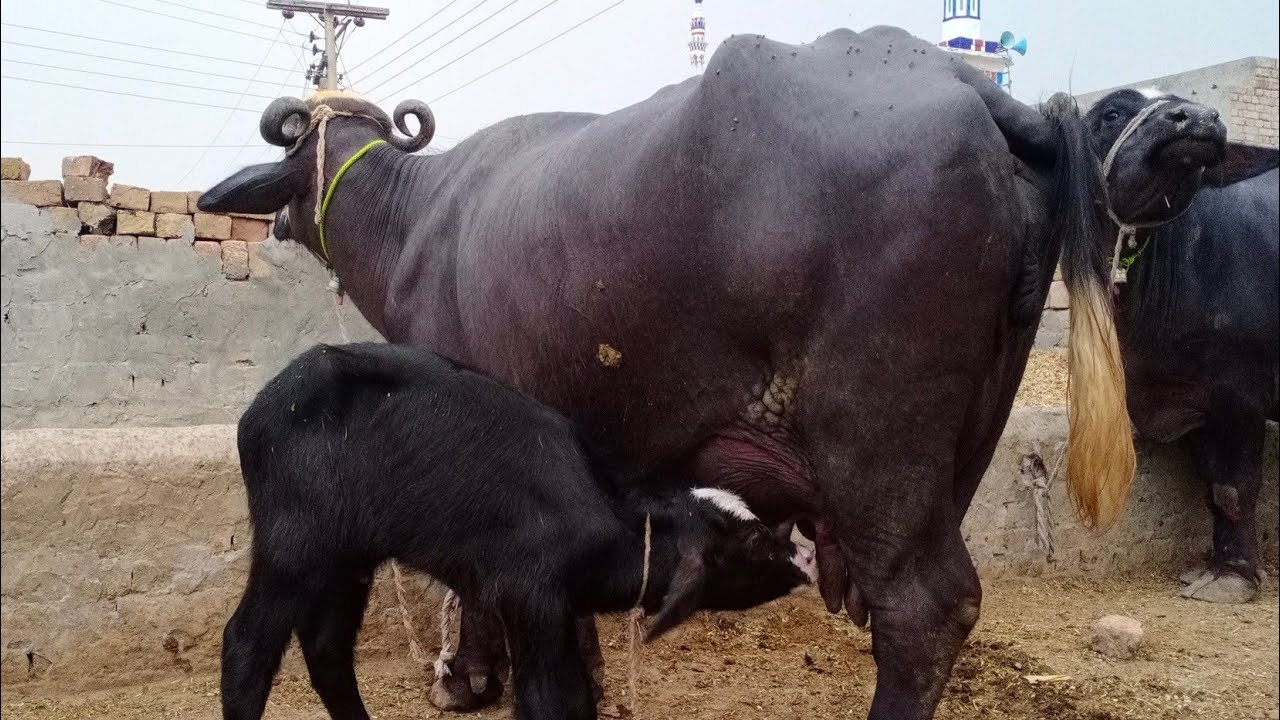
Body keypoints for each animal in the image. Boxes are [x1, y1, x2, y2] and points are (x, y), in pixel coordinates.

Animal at [200, 27, 1268, 720]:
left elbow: (472, 584)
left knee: (925, 607)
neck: (419, 215)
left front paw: (467, 677)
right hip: (961, 446)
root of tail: (980, 92)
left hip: (874, 438)